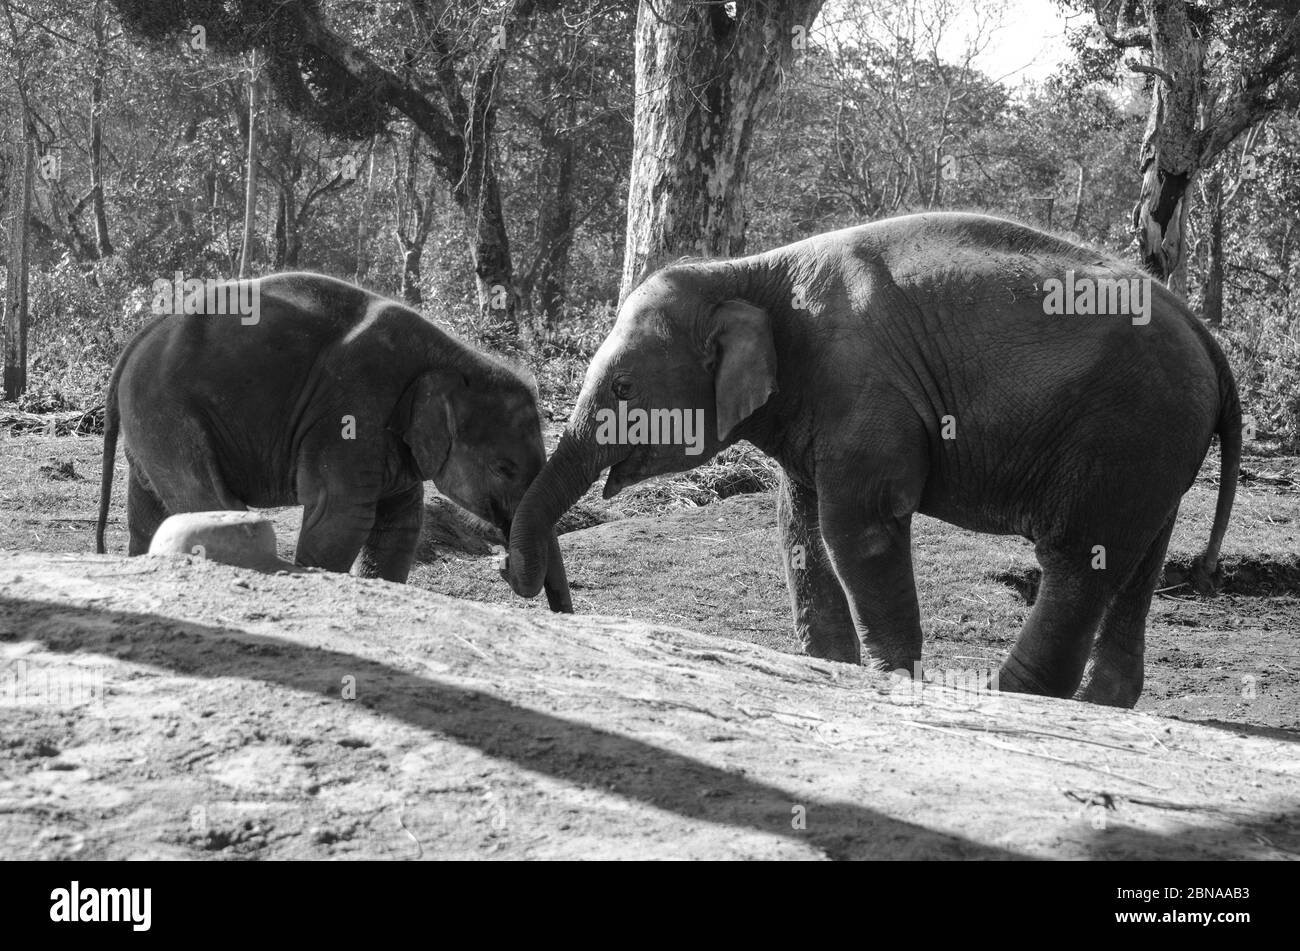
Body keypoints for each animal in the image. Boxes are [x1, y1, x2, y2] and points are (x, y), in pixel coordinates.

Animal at [96, 271, 572, 612]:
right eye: (505, 468)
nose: (502, 561)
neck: (453, 354)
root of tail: (138, 338)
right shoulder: (352, 407)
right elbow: (342, 516)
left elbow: (400, 523)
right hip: (168, 410)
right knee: (205, 501)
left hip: (149, 421)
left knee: (148, 512)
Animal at [503, 212, 1241, 704]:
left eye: (625, 387)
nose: (522, 582)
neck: (747, 270)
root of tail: (1208, 335)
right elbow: (799, 526)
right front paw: (830, 668)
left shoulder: (861, 386)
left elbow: (858, 528)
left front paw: (891, 680)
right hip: (1155, 449)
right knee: (1137, 563)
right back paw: (1099, 703)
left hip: (1126, 429)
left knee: (1077, 560)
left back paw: (1011, 696)